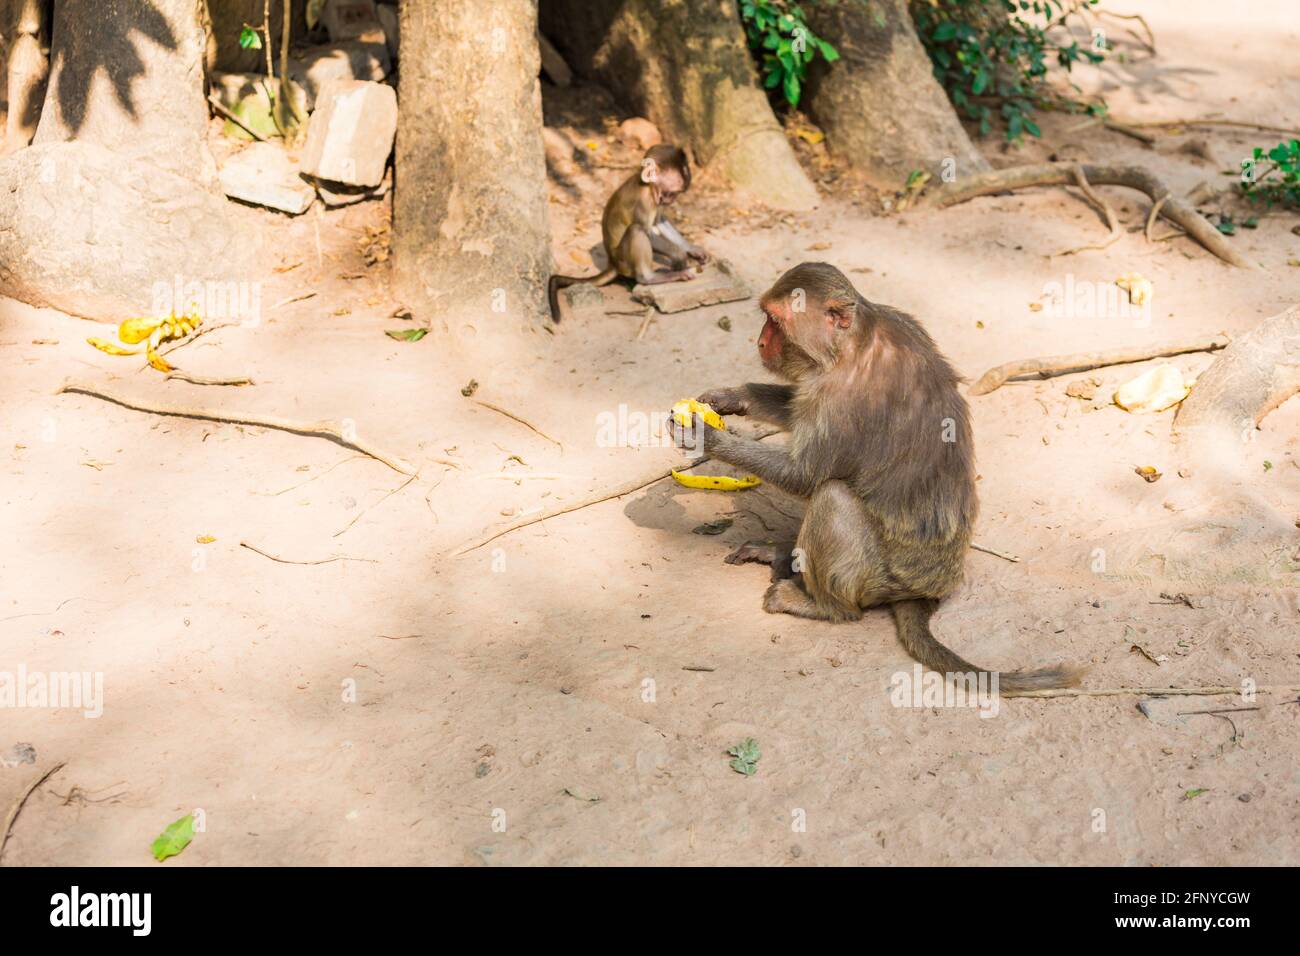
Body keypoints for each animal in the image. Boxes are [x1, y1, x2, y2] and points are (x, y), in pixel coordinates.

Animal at [548, 143, 709, 322]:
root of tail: (612, 262)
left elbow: (659, 222)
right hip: (623, 259)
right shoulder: (644, 201)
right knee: (636, 230)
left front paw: (691, 249)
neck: (647, 187)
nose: (671, 201)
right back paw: (649, 278)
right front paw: (679, 254)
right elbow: (647, 231)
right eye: (672, 193)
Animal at [668, 262, 1083, 693]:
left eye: (775, 321)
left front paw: (704, 436)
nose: (760, 342)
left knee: (832, 497)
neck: (855, 342)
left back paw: (823, 605)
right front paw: (735, 396)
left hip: (881, 580)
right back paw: (784, 556)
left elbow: (804, 476)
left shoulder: (840, 394)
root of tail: (930, 591)